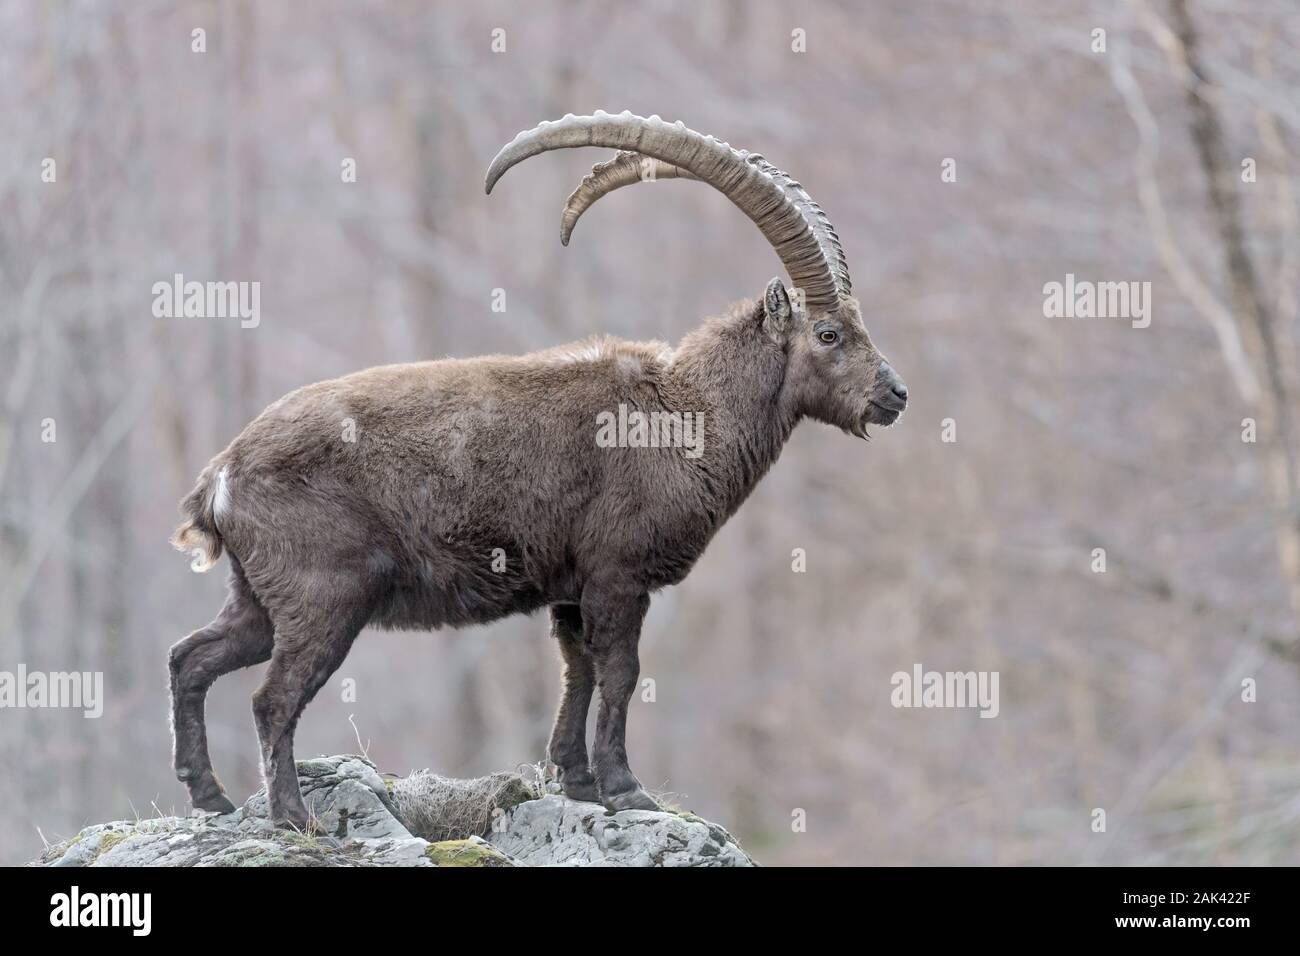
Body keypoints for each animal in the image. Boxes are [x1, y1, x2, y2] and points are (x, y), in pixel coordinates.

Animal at [168, 112, 908, 829]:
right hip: (325, 596)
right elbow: (620, 672)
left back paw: (212, 797)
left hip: (259, 597)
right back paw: (295, 818)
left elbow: (576, 670)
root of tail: (223, 474)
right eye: (829, 334)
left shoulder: (571, 588)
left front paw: (577, 780)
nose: (895, 395)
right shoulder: (617, 573)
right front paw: (626, 789)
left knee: (191, 658)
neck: (688, 413)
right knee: (271, 698)